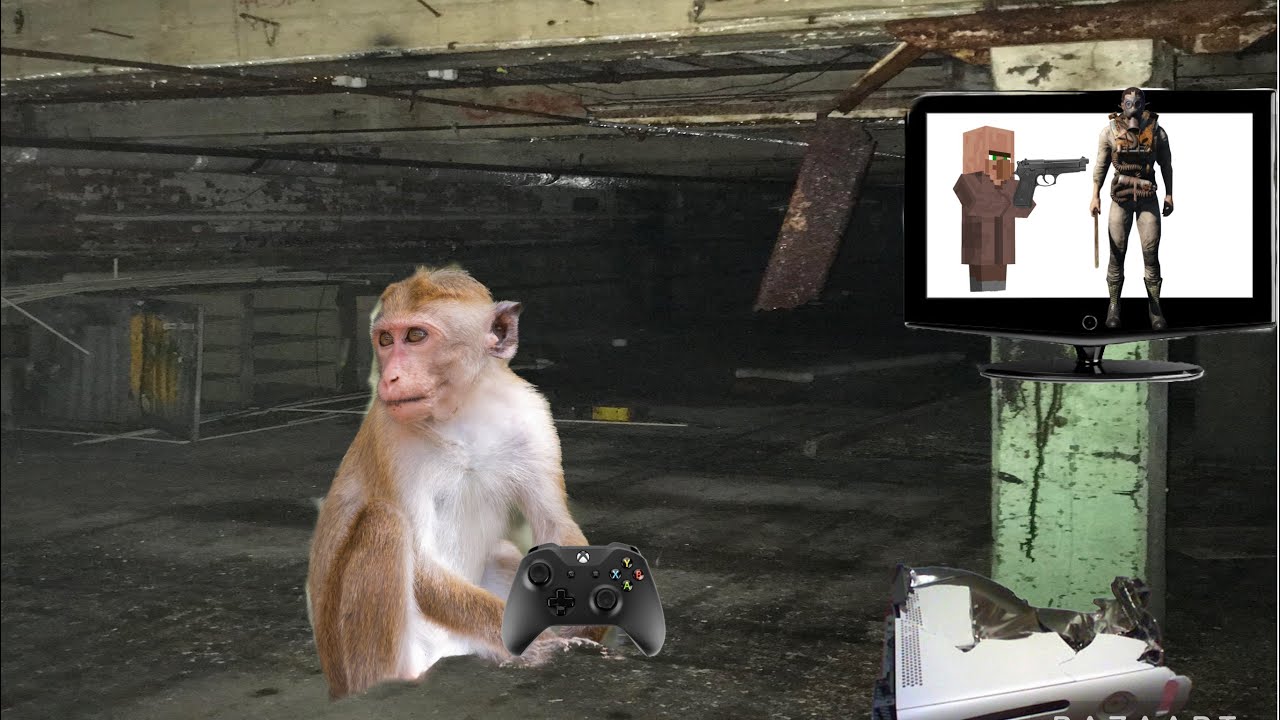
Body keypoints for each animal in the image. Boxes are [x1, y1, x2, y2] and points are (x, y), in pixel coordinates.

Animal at [306, 266, 602, 699]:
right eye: (385, 339)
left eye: (415, 336)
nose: (389, 377)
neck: (465, 409)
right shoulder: (392, 437)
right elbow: (422, 564)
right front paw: (546, 640)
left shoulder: (534, 418)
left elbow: (553, 525)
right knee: (384, 524)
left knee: (506, 554)